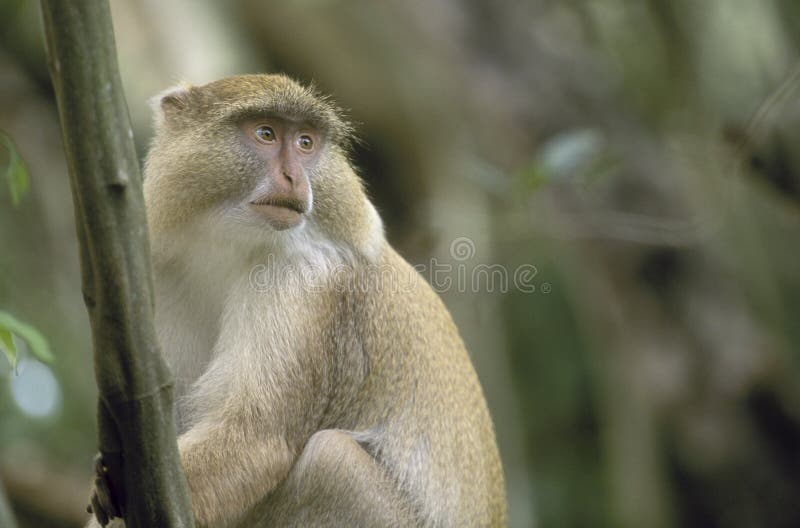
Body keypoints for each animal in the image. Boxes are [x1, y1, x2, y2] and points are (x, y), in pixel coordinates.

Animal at [87, 73, 506, 527]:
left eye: (306, 142)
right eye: (266, 133)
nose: (294, 177)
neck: (226, 248)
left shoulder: (301, 278)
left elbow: (256, 439)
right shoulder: (160, 272)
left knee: (330, 462)